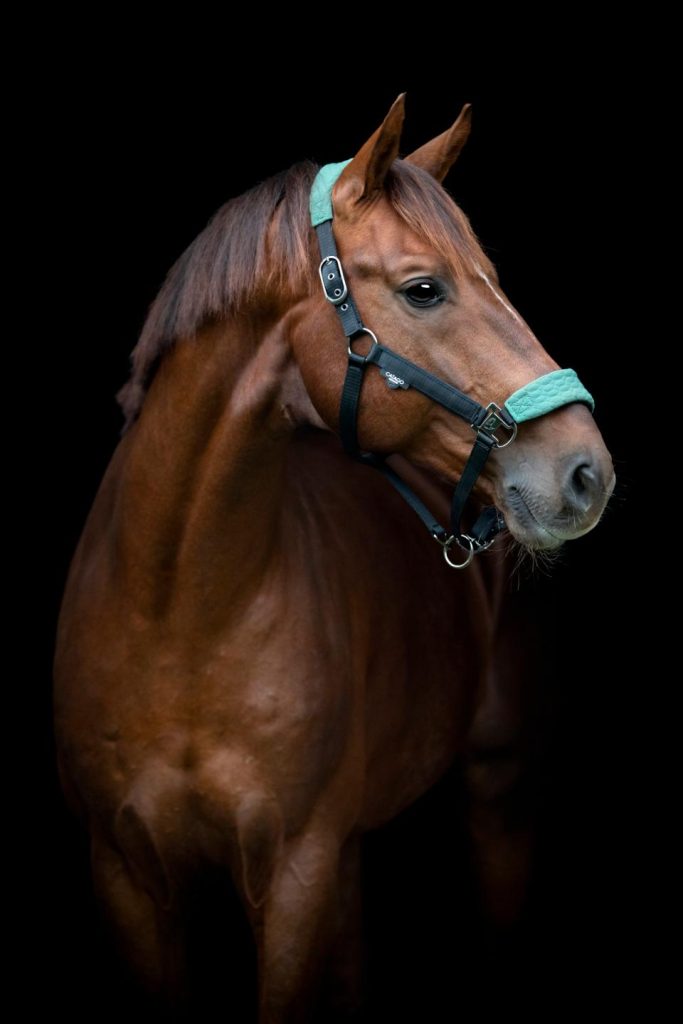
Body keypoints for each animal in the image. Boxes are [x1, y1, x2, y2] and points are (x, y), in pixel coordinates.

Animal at [54, 95, 614, 1021]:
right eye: (424, 288)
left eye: (493, 275)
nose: (585, 472)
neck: (178, 611)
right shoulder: (126, 876)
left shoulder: (294, 876)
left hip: (497, 786)